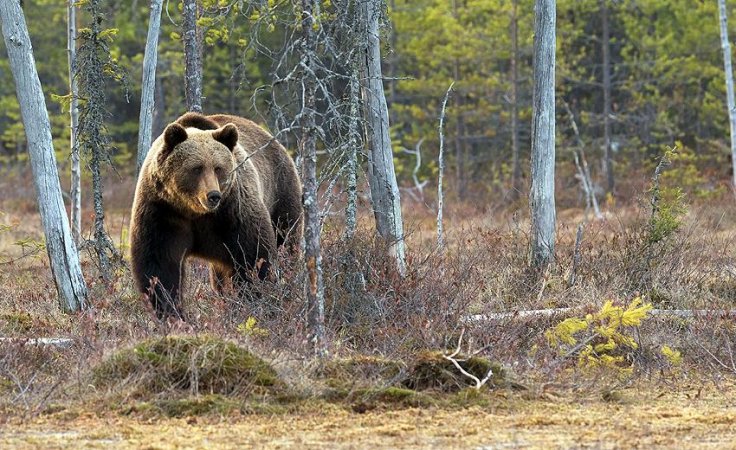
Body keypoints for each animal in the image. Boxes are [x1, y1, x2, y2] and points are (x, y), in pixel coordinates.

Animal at [130, 112, 302, 320]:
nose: (213, 195)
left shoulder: (233, 211)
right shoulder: (162, 211)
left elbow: (253, 255)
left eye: (218, 168)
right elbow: (160, 265)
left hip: (281, 193)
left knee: (286, 242)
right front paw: (171, 312)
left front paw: (254, 301)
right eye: (196, 168)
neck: (194, 211)